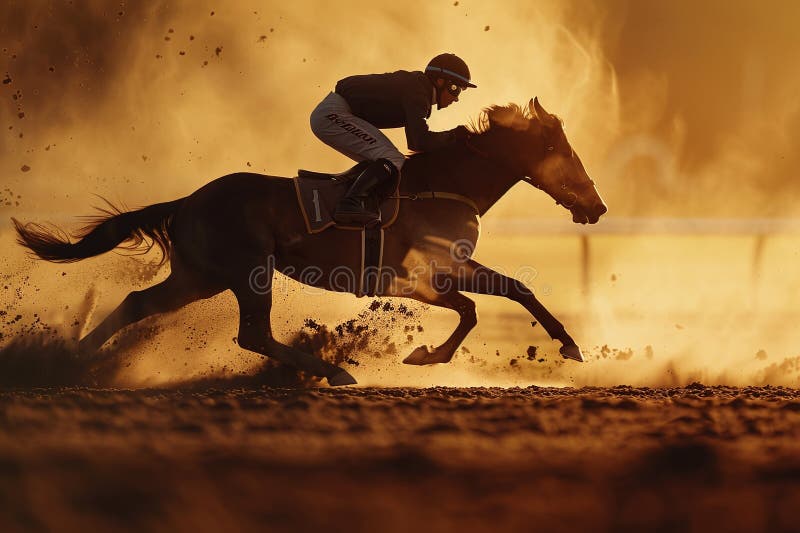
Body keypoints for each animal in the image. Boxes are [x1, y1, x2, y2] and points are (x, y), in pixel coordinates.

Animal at [13, 97, 607, 386]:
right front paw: (428, 355)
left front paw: (567, 345)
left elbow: (504, 295)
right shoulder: (421, 276)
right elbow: (481, 306)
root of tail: (187, 201)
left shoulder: (441, 272)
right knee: (252, 334)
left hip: (200, 275)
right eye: (562, 151)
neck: (445, 184)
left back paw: (70, 359)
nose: (597, 207)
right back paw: (334, 370)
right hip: (247, 271)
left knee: (139, 304)